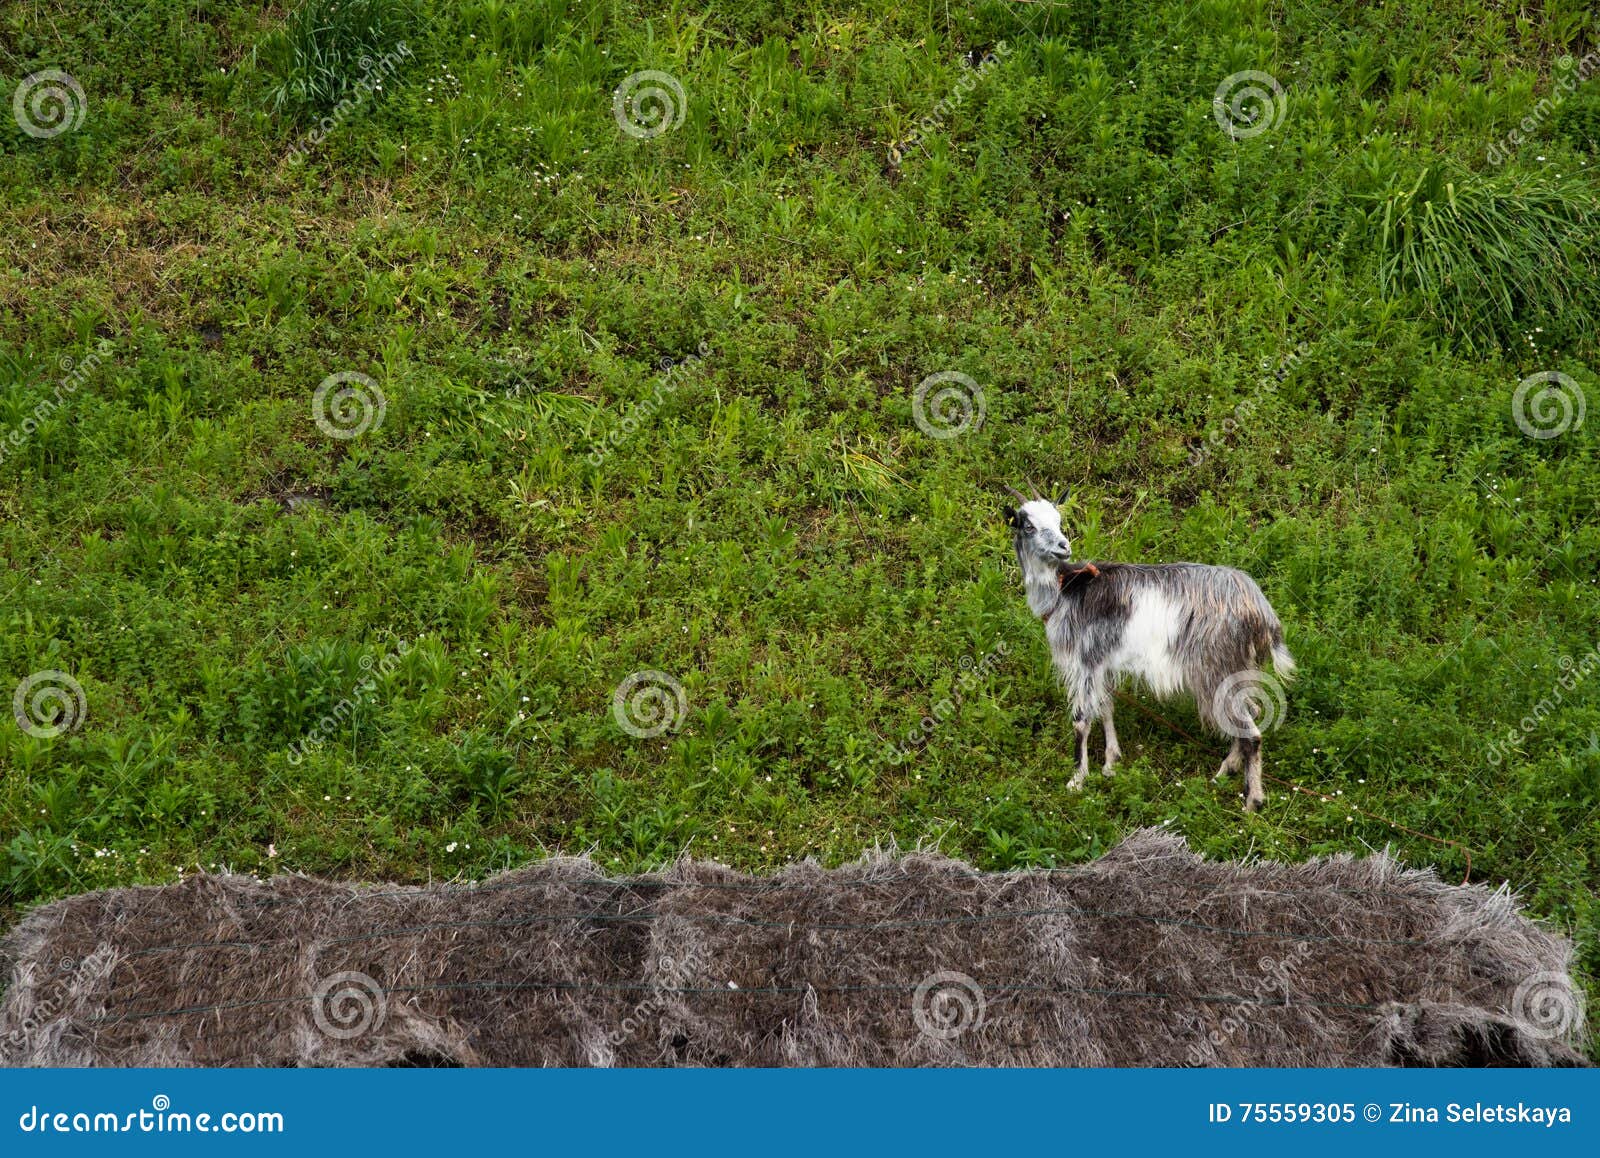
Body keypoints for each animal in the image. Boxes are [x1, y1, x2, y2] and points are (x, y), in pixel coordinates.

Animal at [1003, 489, 1295, 811]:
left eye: (1058, 520)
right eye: (1028, 525)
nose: (1063, 547)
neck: (1065, 589)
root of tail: (1262, 611)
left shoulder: (1085, 660)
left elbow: (1082, 719)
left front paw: (1077, 779)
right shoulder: (1102, 661)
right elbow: (1106, 706)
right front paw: (1111, 763)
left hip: (1216, 666)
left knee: (1251, 731)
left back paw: (1252, 801)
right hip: (1240, 667)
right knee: (1251, 712)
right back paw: (1225, 769)